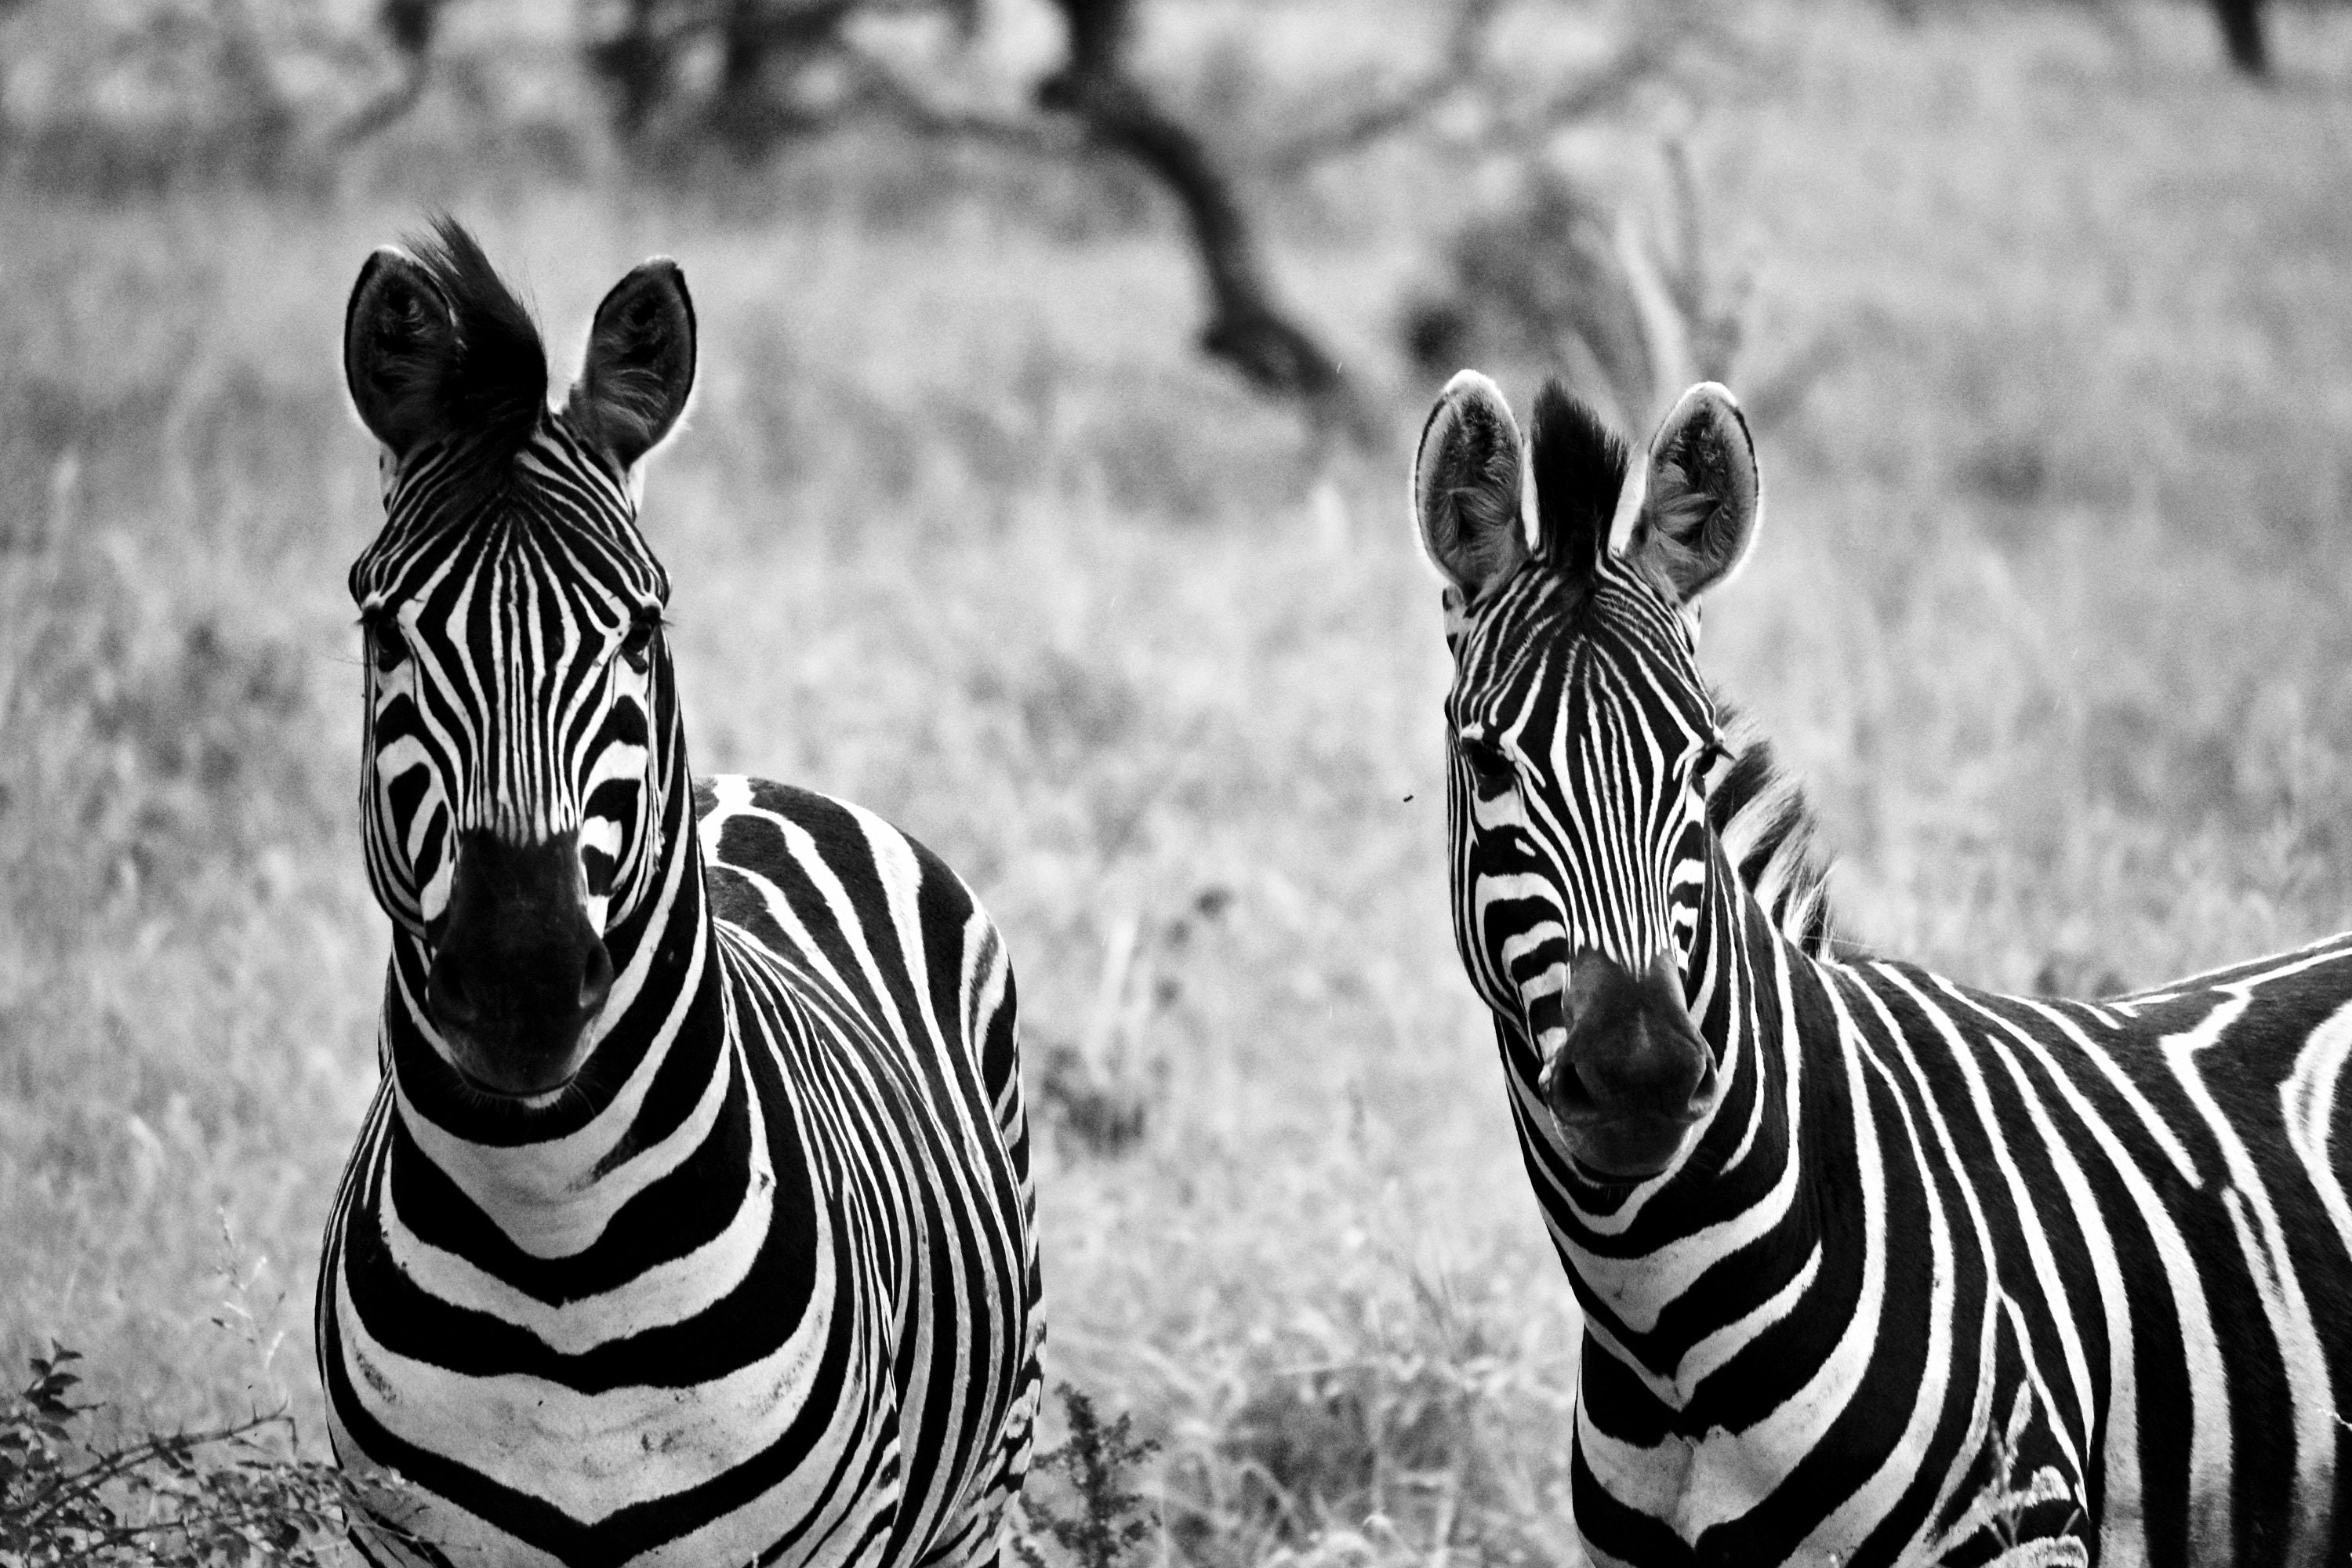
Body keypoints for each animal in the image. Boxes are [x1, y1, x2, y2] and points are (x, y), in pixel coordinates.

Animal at [318, 220, 1044, 1568]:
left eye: (641, 634)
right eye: (388, 634)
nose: (522, 989)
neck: (555, 1244)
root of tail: (750, 786)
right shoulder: (398, 1541)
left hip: (979, 1497)